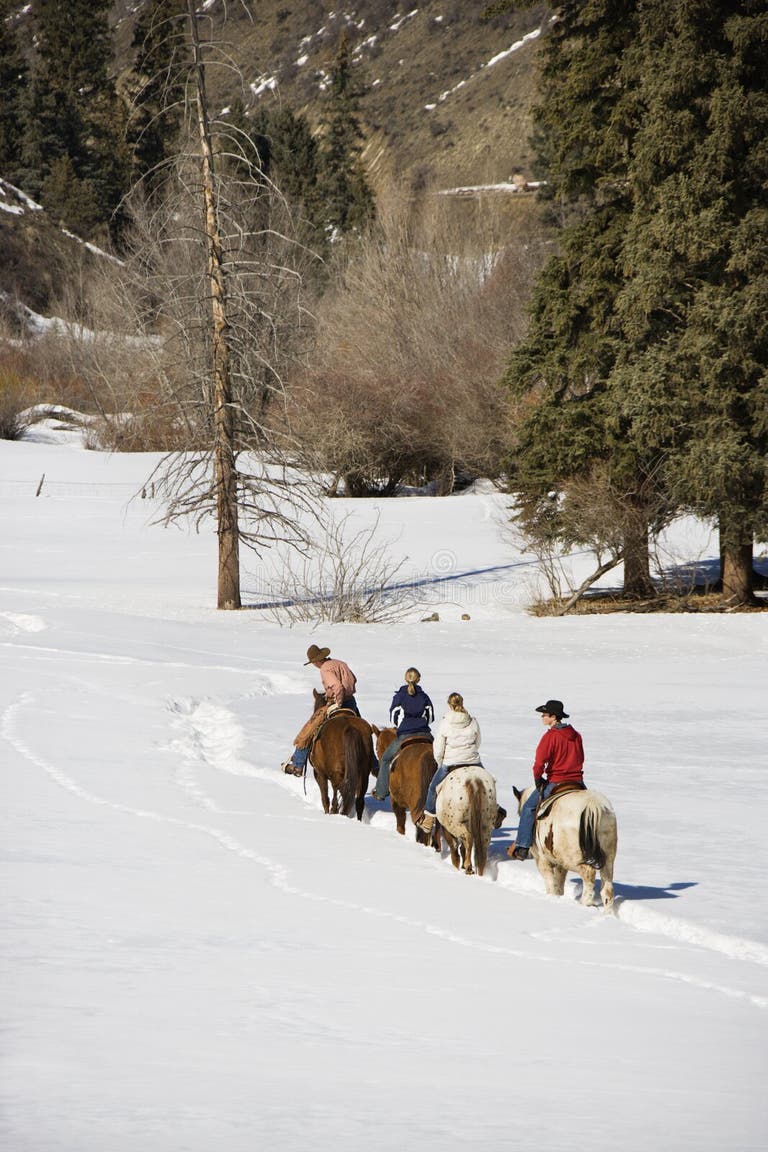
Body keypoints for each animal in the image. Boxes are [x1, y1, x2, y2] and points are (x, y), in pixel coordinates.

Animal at [308, 690, 375, 819]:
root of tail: (350, 728)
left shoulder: (319, 773)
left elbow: (325, 798)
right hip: (364, 774)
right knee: (358, 800)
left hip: (336, 775)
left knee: (338, 797)